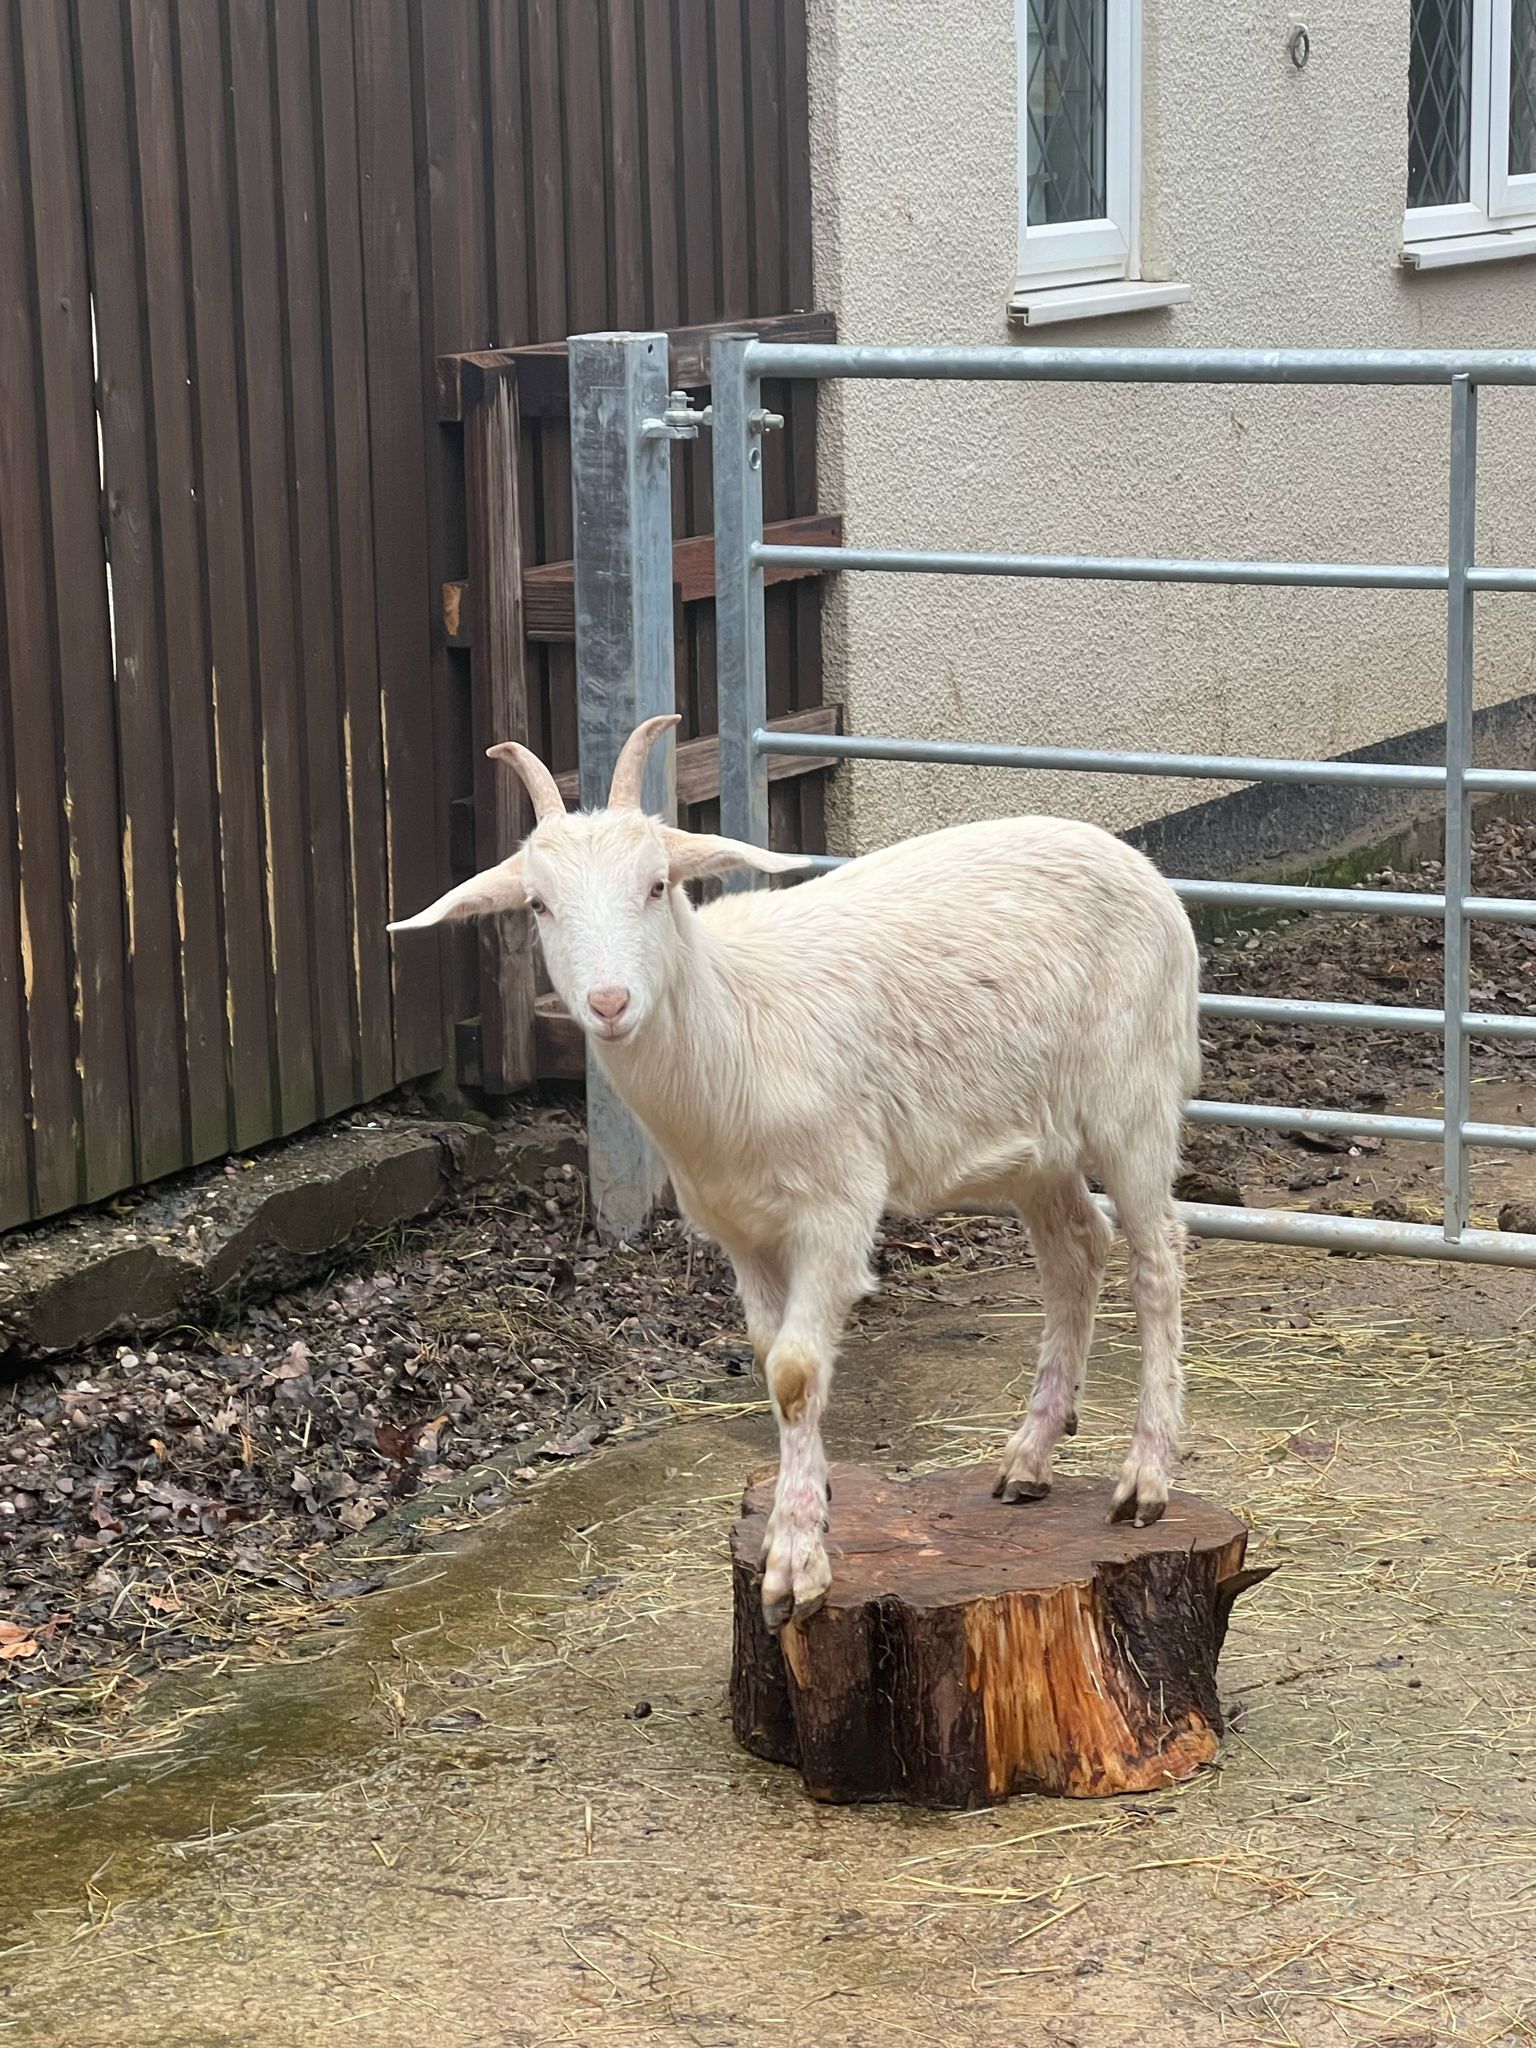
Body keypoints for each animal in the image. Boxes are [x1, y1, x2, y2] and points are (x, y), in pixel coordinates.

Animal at [390, 716, 1202, 1628]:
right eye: (537, 903)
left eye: (658, 885)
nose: (607, 1004)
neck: (732, 1023)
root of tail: (1140, 866)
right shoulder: (741, 1229)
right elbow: (769, 1361)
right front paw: (794, 1524)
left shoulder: (836, 1206)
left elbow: (796, 1372)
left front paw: (795, 1566)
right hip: (1036, 1138)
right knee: (1075, 1251)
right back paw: (1028, 1458)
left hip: (1134, 1091)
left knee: (1156, 1255)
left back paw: (1145, 1479)